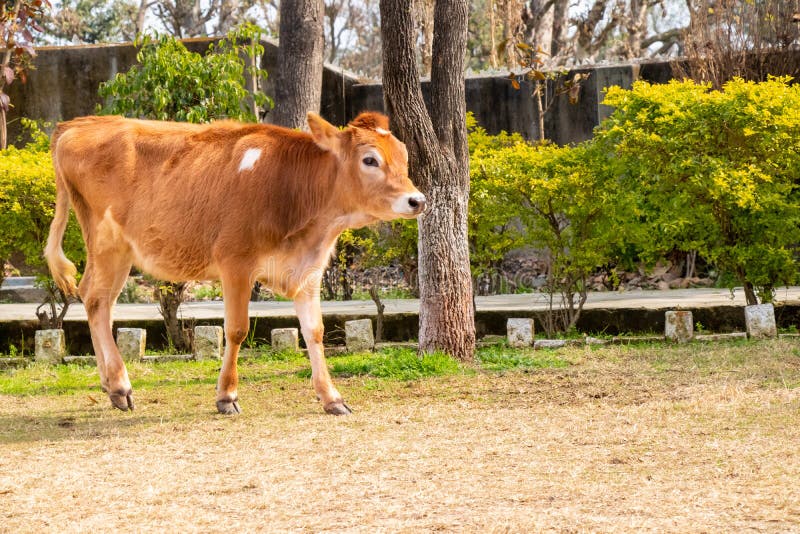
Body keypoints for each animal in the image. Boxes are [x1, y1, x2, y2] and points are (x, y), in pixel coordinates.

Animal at [44, 111, 425, 415]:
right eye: (370, 160)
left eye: (403, 156)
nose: (417, 200)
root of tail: (79, 124)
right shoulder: (236, 263)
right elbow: (237, 329)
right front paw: (226, 395)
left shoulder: (308, 270)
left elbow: (314, 331)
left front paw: (332, 397)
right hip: (107, 242)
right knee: (97, 300)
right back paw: (121, 385)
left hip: (119, 251)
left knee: (96, 300)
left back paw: (110, 384)